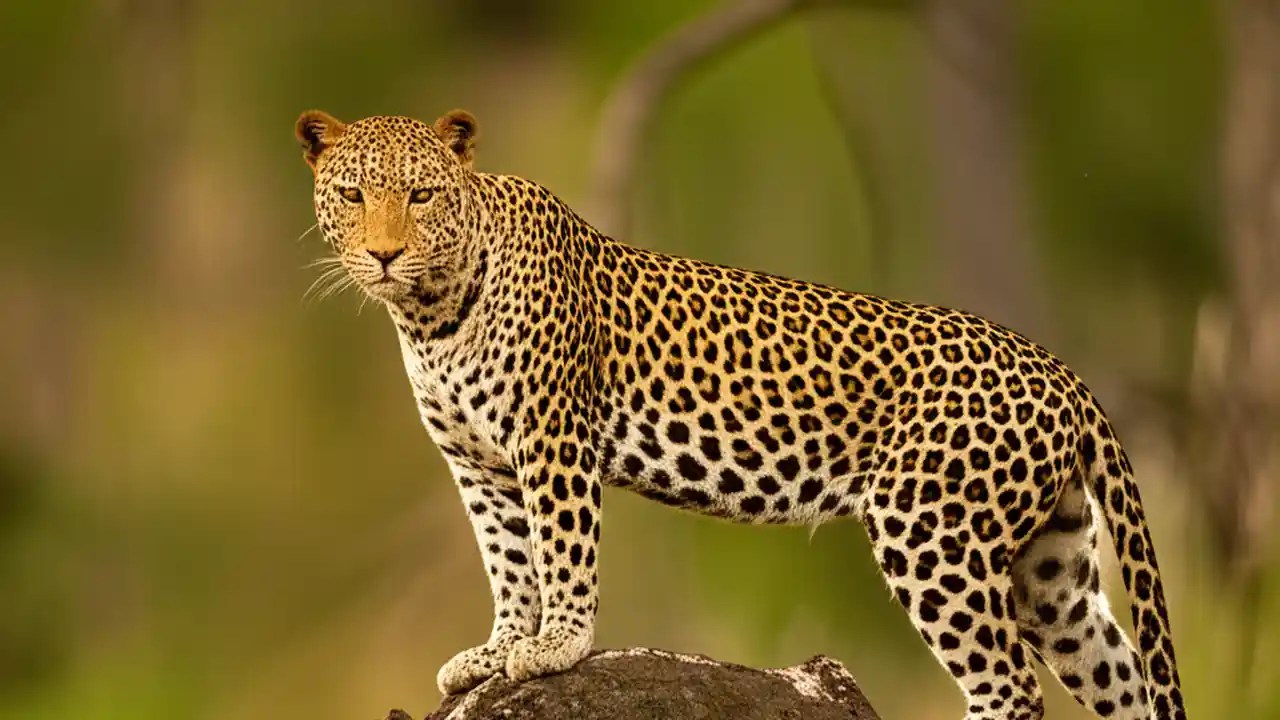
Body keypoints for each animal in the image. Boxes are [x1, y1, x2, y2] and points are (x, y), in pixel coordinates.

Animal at [294, 107, 1187, 720]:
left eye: (422, 195)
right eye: (353, 194)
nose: (383, 254)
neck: (430, 313)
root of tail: (1064, 373)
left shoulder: (552, 441)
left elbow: (563, 549)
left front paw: (557, 647)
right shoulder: (477, 464)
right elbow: (509, 560)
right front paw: (499, 650)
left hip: (934, 532)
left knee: (1010, 688)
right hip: (1051, 571)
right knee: (1121, 680)